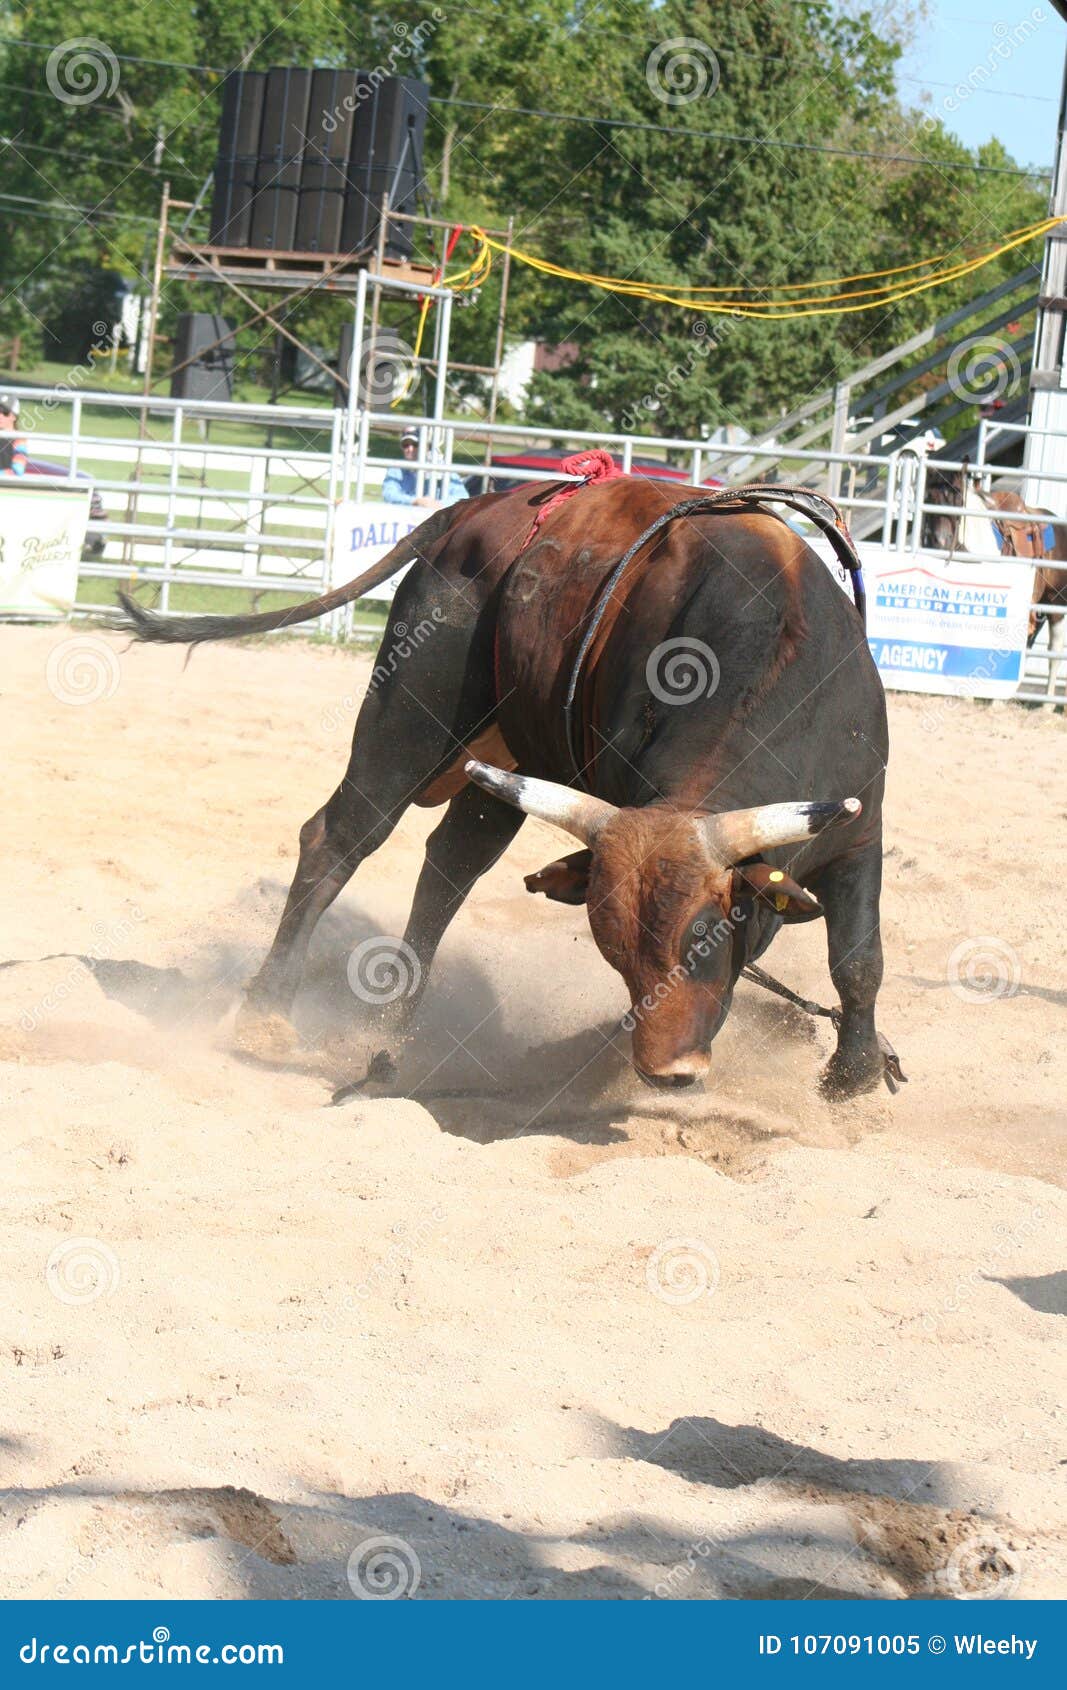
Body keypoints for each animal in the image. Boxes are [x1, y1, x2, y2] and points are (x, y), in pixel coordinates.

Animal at [120, 476, 889, 1097]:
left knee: (448, 868)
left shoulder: (861, 832)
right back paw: (268, 1011)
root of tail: (478, 508)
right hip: (406, 711)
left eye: (705, 938)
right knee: (339, 839)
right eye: (614, 952)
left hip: (505, 766)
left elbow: (857, 961)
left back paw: (395, 1030)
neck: (777, 651)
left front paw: (853, 1076)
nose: (667, 1072)